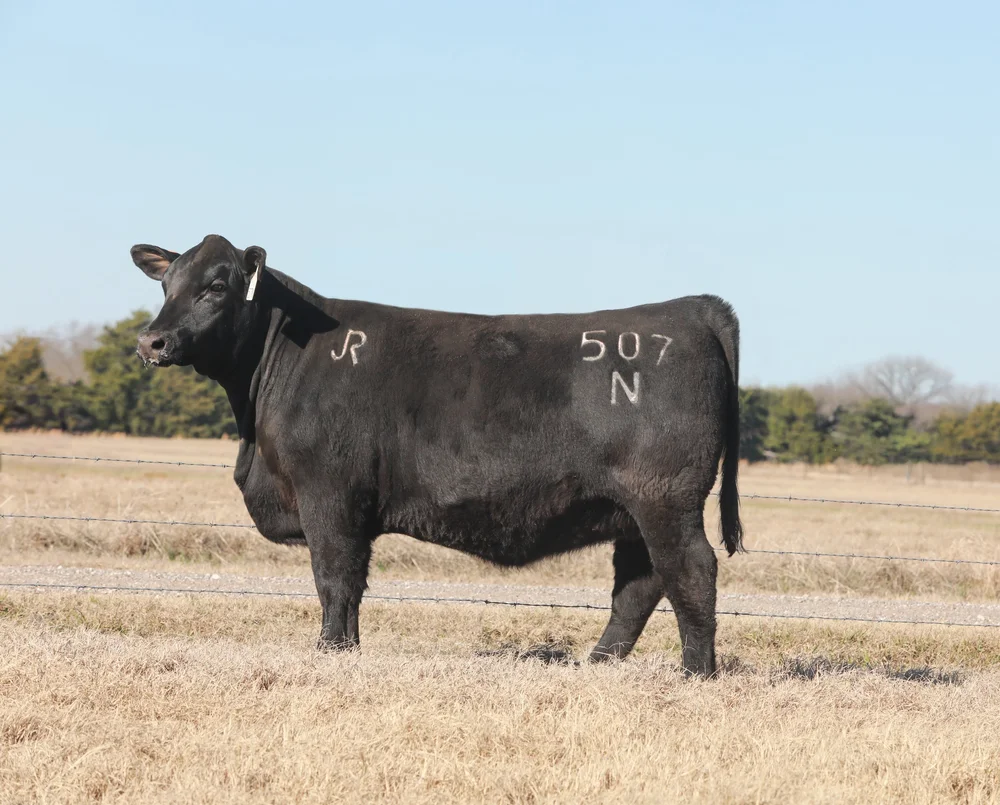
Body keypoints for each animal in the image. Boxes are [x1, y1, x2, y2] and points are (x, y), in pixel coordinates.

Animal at [132, 234, 743, 676]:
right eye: (166, 286)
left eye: (217, 286)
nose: (151, 341)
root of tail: (691, 309)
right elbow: (351, 584)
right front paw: (346, 649)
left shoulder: (329, 493)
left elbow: (335, 577)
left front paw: (331, 653)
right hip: (634, 511)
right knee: (639, 585)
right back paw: (597, 665)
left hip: (664, 498)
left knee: (690, 570)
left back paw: (696, 672)